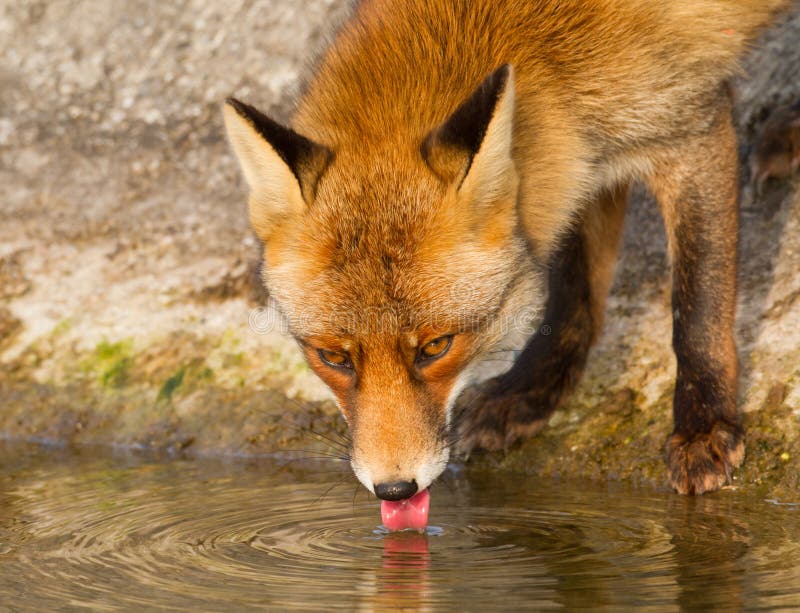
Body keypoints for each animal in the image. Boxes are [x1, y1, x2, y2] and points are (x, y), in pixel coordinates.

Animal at [223, 0, 794, 508]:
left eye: (436, 347)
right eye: (334, 358)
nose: (394, 490)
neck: (549, 51)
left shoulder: (689, 125)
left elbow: (697, 303)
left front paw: (705, 426)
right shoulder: (577, 166)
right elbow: (572, 291)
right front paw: (530, 390)